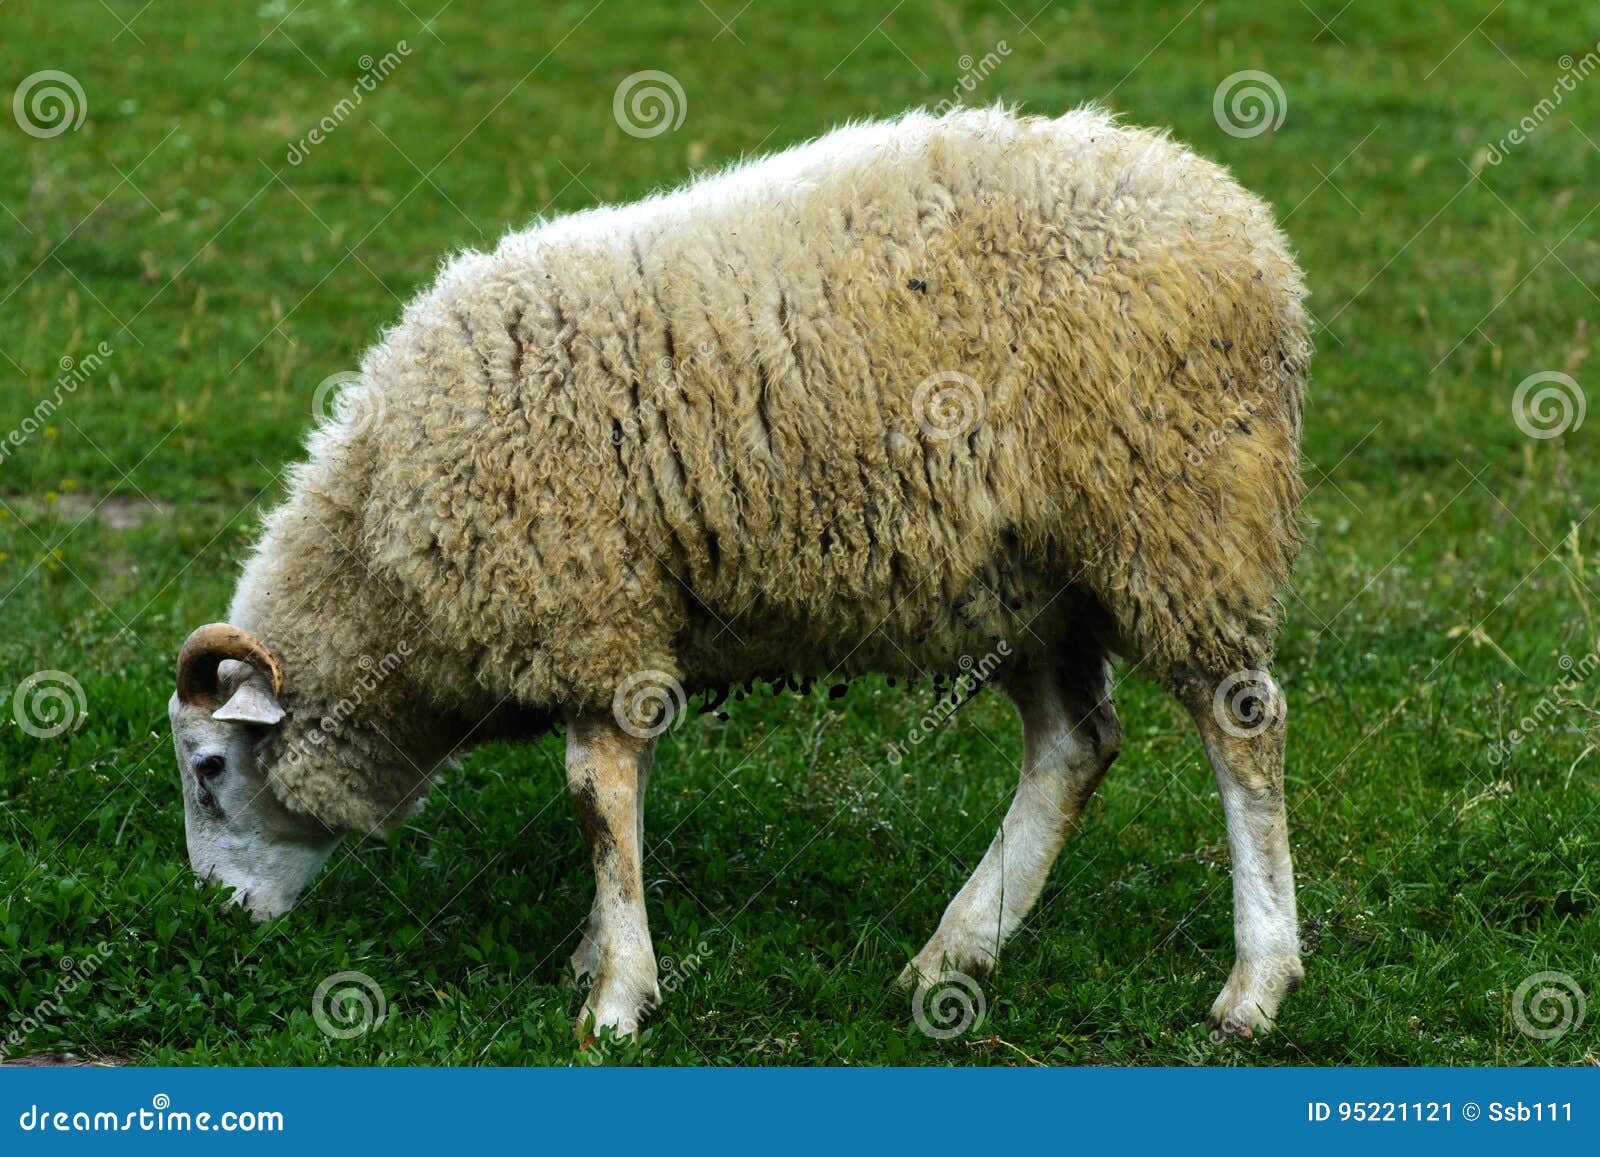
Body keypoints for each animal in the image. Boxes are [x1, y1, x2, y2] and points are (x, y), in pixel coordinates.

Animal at [169, 104, 1311, 1042]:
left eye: (211, 768)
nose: (216, 919)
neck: (379, 557)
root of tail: (1251, 232)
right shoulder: (623, 621)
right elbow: (620, 799)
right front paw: (600, 950)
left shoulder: (587, 607)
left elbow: (595, 798)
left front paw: (615, 998)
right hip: (1026, 583)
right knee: (1075, 745)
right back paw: (954, 950)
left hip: (1181, 521)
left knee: (1241, 728)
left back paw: (1254, 984)